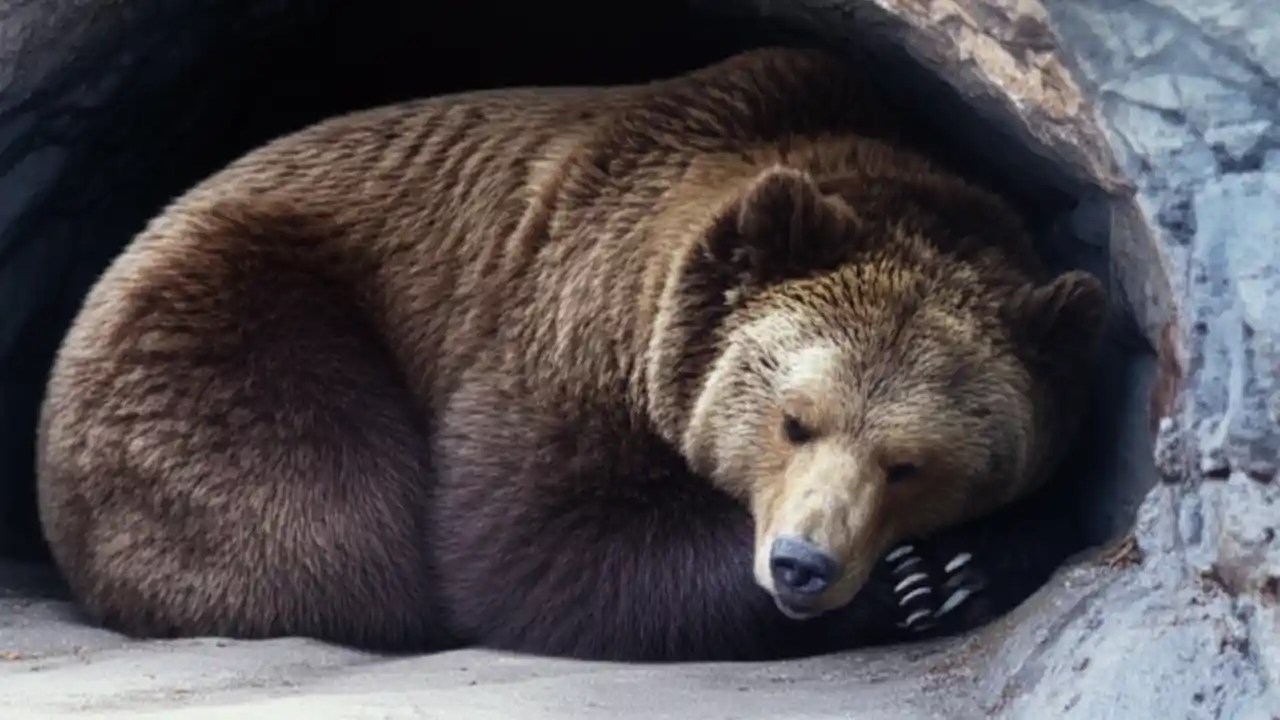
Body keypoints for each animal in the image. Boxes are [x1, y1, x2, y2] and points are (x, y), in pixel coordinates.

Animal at [35, 46, 1107, 662]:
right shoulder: (566, 323)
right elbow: (530, 542)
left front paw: (958, 568)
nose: (802, 564)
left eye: (910, 462)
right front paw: (903, 586)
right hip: (239, 321)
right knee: (327, 510)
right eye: (793, 419)